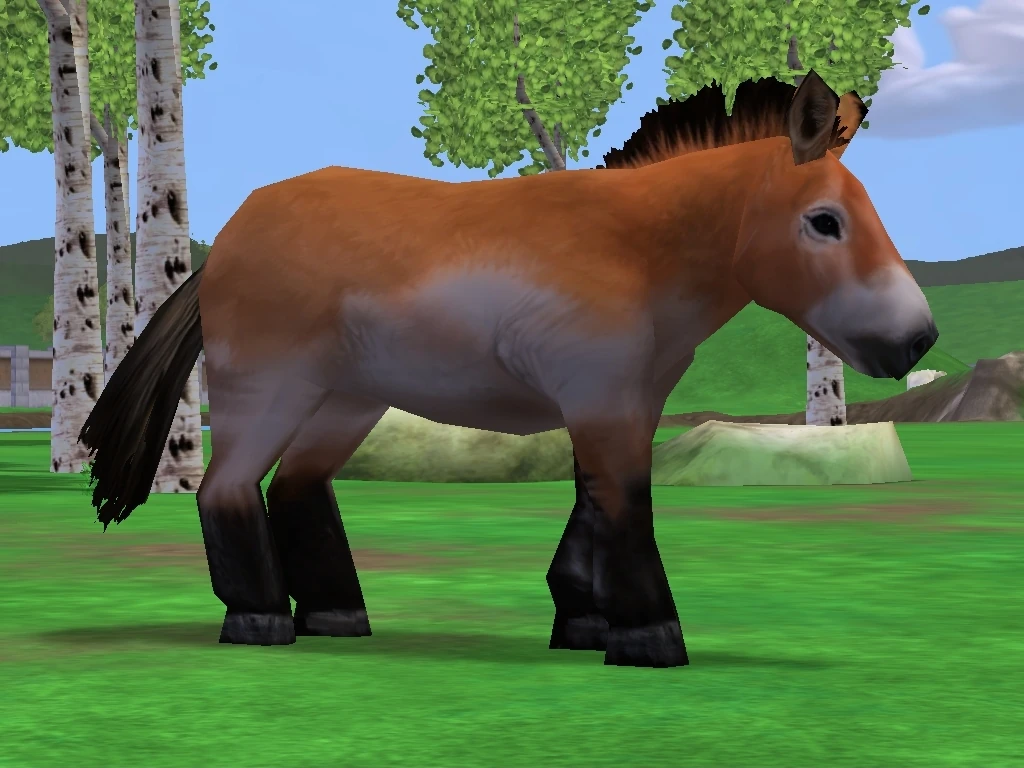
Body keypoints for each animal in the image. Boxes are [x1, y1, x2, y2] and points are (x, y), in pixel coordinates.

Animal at [79, 70, 938, 669]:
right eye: (824, 222)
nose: (918, 342)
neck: (637, 250)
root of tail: (227, 239)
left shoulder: (624, 400)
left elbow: (594, 503)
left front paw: (583, 620)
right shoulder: (600, 397)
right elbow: (625, 503)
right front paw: (650, 636)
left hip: (345, 400)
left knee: (294, 488)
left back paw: (335, 617)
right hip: (271, 389)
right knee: (226, 490)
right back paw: (258, 621)